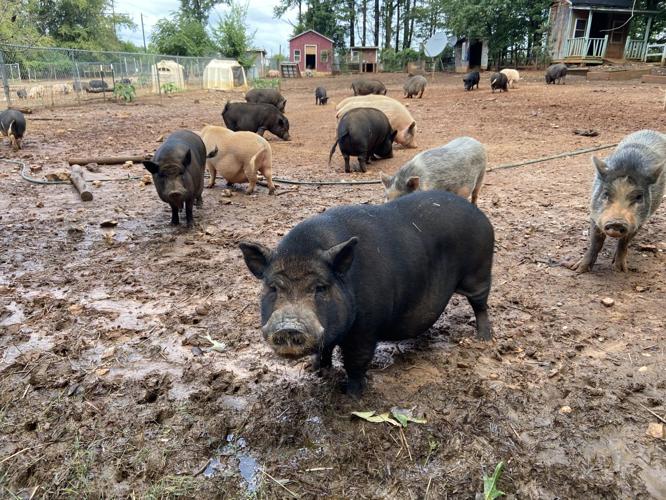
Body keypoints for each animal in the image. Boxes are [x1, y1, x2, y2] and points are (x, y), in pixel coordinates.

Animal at [239, 190, 494, 396]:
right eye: (272, 287)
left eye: (320, 287)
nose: (289, 326)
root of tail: (478, 213)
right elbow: (324, 350)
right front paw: (314, 369)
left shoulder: (366, 328)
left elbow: (355, 361)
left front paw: (351, 396)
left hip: (479, 271)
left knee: (480, 304)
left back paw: (484, 338)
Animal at [567, 130, 665, 273]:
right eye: (606, 193)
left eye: (639, 197)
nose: (617, 223)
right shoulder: (595, 215)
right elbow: (595, 242)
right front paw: (577, 269)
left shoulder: (640, 221)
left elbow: (624, 242)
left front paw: (621, 270)